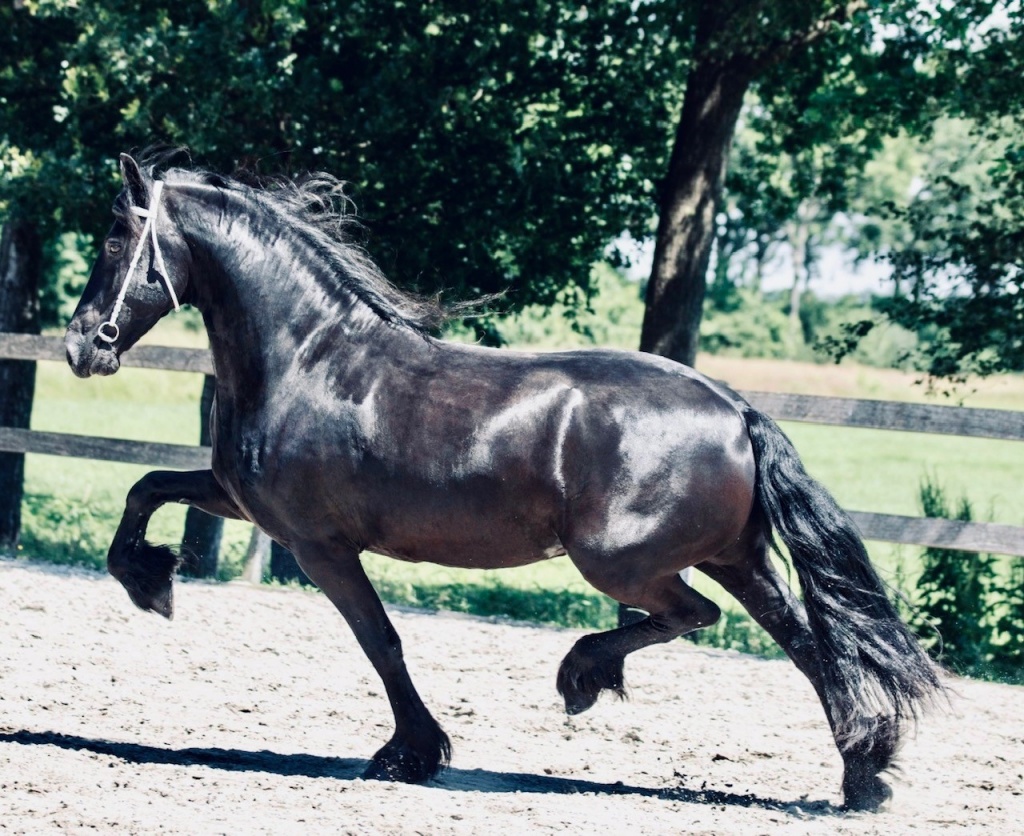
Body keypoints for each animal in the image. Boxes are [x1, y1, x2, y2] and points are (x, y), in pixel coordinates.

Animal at [64, 153, 943, 811]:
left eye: (113, 237)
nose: (80, 349)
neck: (308, 358)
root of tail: (735, 408)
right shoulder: (245, 502)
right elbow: (147, 487)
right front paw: (151, 580)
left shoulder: (318, 545)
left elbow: (381, 640)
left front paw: (410, 754)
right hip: (737, 556)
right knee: (807, 645)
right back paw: (863, 778)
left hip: (624, 562)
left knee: (698, 617)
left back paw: (584, 674)